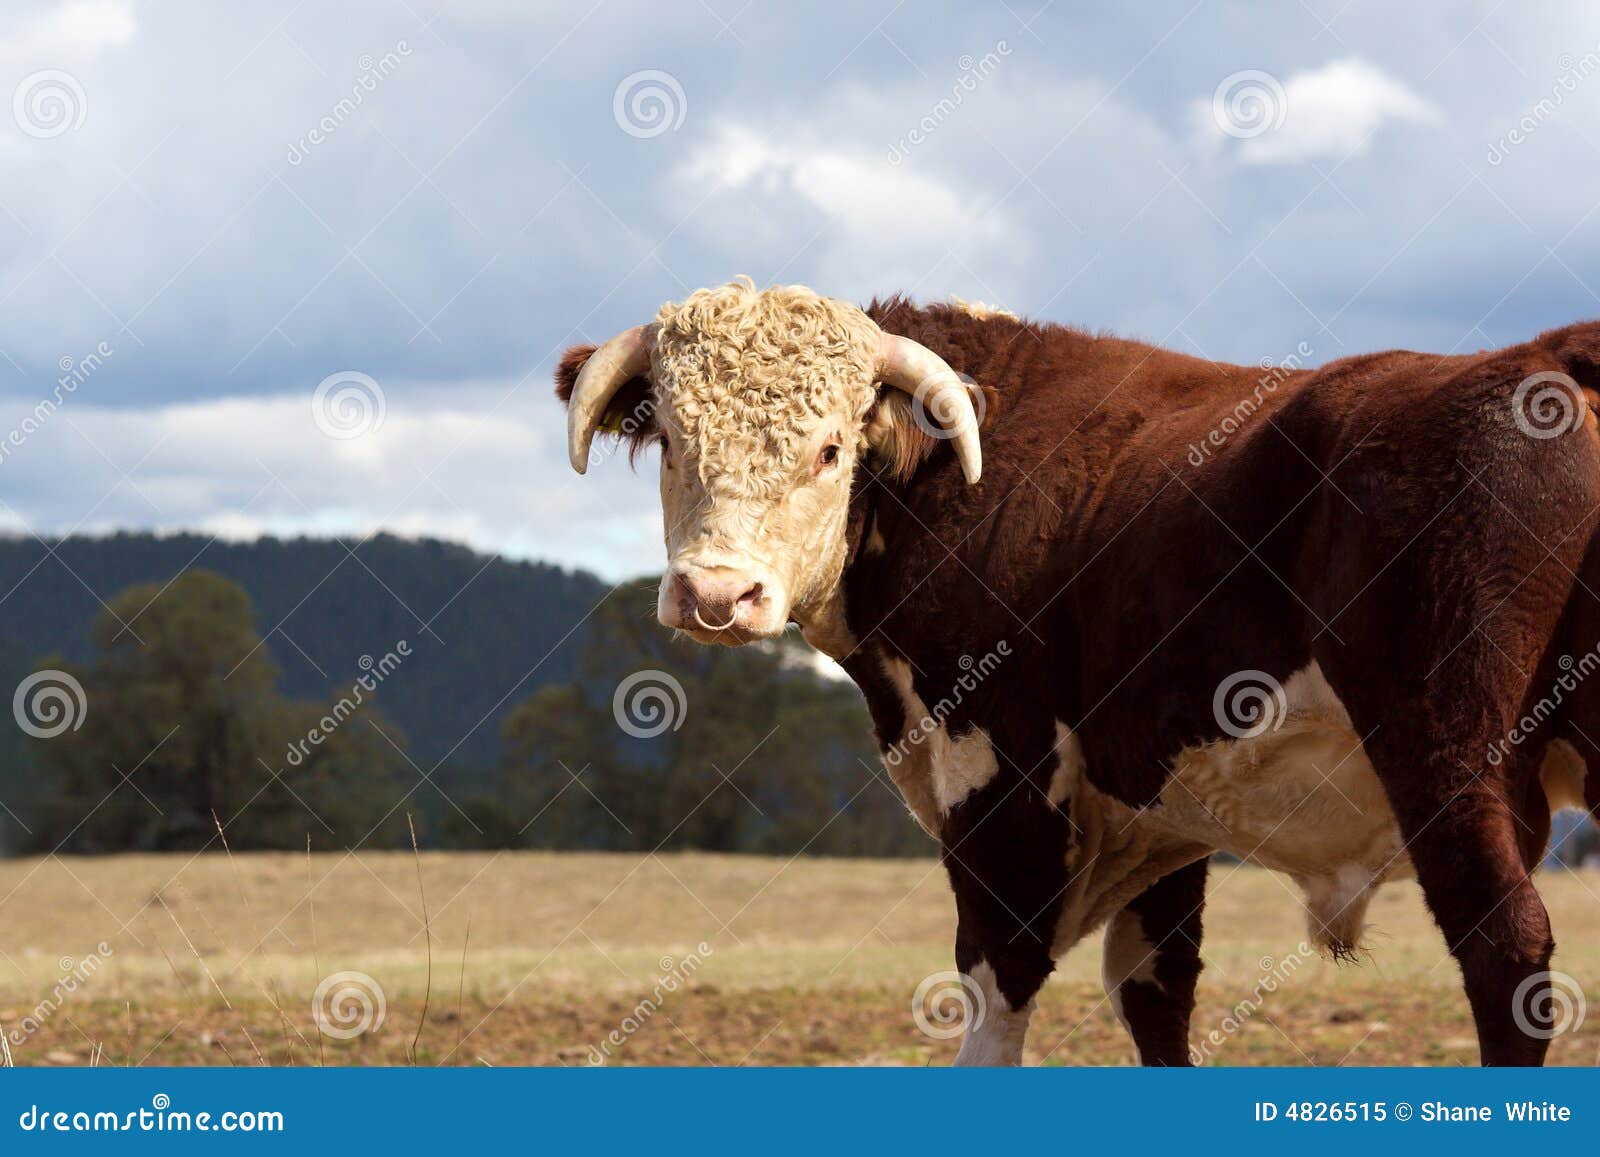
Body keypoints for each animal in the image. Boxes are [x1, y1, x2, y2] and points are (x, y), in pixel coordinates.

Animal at [557, 276, 1600, 1066]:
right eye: (672, 444)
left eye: (828, 449)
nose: (715, 593)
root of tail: (1546, 354)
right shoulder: (1159, 817)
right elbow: (1153, 993)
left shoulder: (1001, 784)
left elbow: (997, 987)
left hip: (1446, 761)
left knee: (1506, 952)